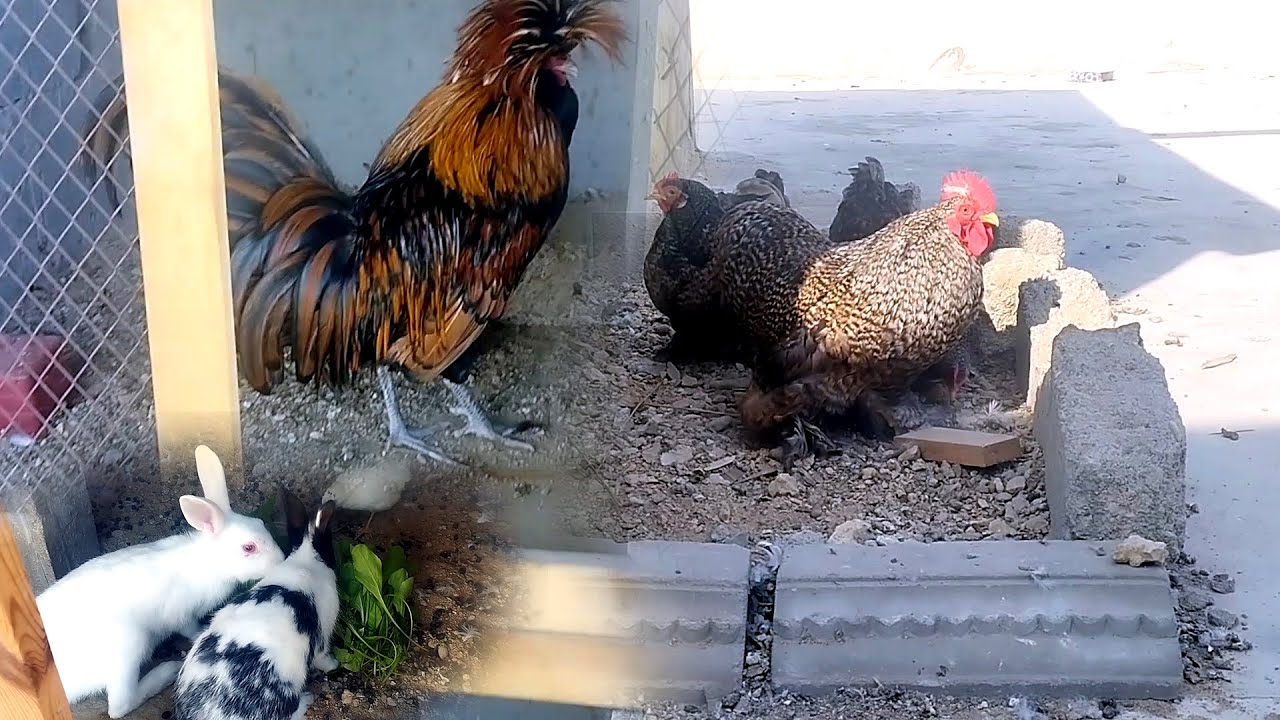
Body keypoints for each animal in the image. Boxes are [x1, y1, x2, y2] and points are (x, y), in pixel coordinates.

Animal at [35, 445, 285, 719]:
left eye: (261, 523)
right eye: (248, 547)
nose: (282, 559)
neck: (210, 563)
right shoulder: (181, 615)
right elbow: (189, 629)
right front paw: (201, 631)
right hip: (129, 647)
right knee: (119, 706)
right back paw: (166, 671)